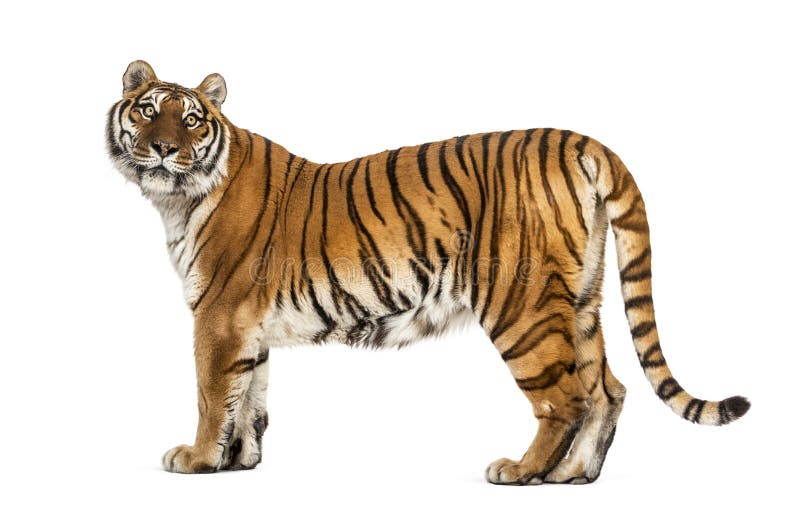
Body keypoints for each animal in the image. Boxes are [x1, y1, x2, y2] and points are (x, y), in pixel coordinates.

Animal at [106, 60, 750, 483]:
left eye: (192, 120)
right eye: (148, 111)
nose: (163, 149)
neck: (176, 199)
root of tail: (580, 141)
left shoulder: (218, 317)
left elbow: (213, 394)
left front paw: (196, 460)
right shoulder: (249, 326)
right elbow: (249, 396)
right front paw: (238, 463)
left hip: (521, 306)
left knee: (566, 397)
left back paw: (523, 470)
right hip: (582, 300)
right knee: (607, 389)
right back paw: (575, 474)